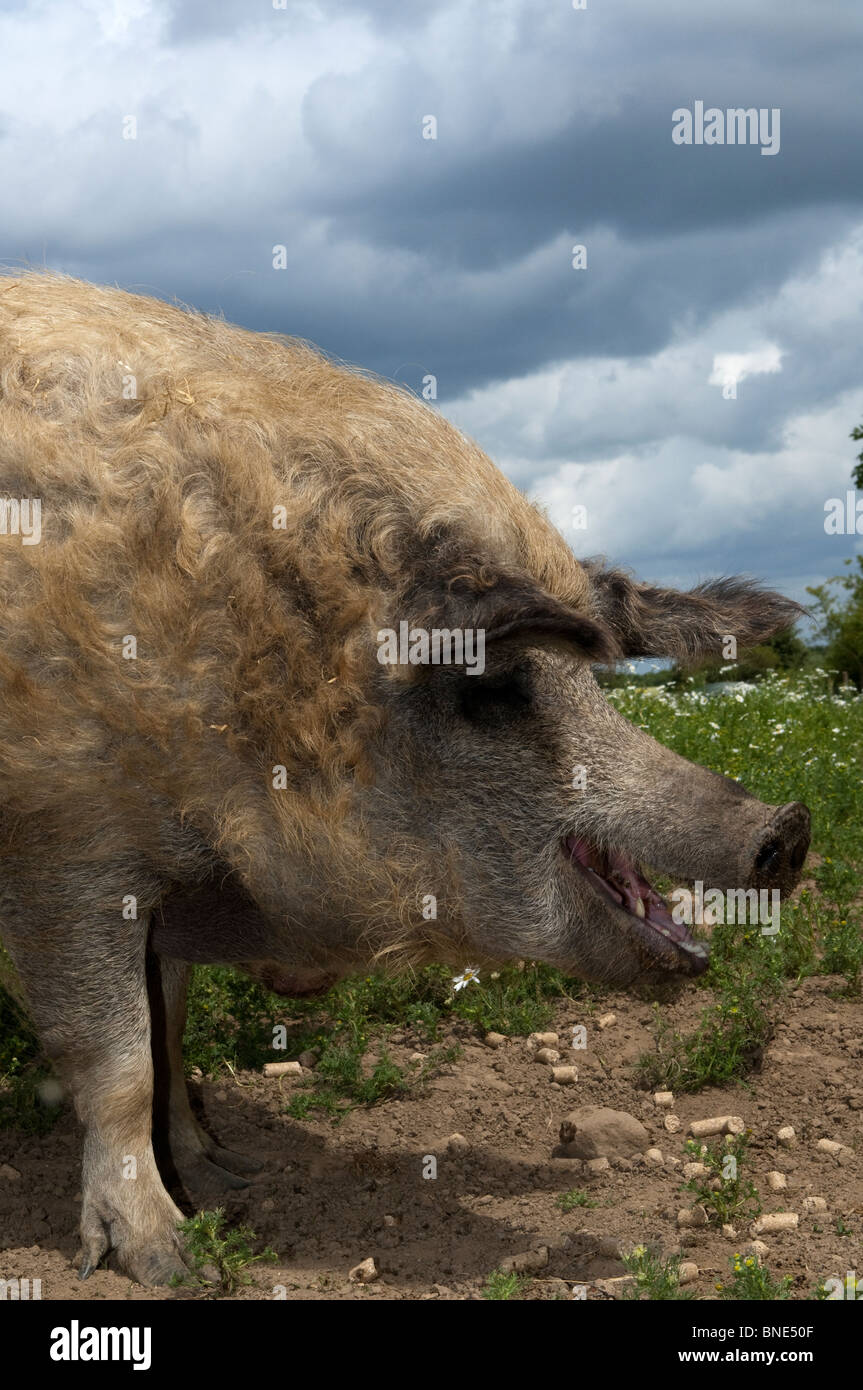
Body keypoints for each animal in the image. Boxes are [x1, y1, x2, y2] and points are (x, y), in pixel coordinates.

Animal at [0, 273, 810, 1283]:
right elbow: (118, 1063)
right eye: (493, 690)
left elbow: (169, 1033)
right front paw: (177, 1264)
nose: (787, 827)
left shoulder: (165, 887)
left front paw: (228, 1178)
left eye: (592, 681)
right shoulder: (66, 850)